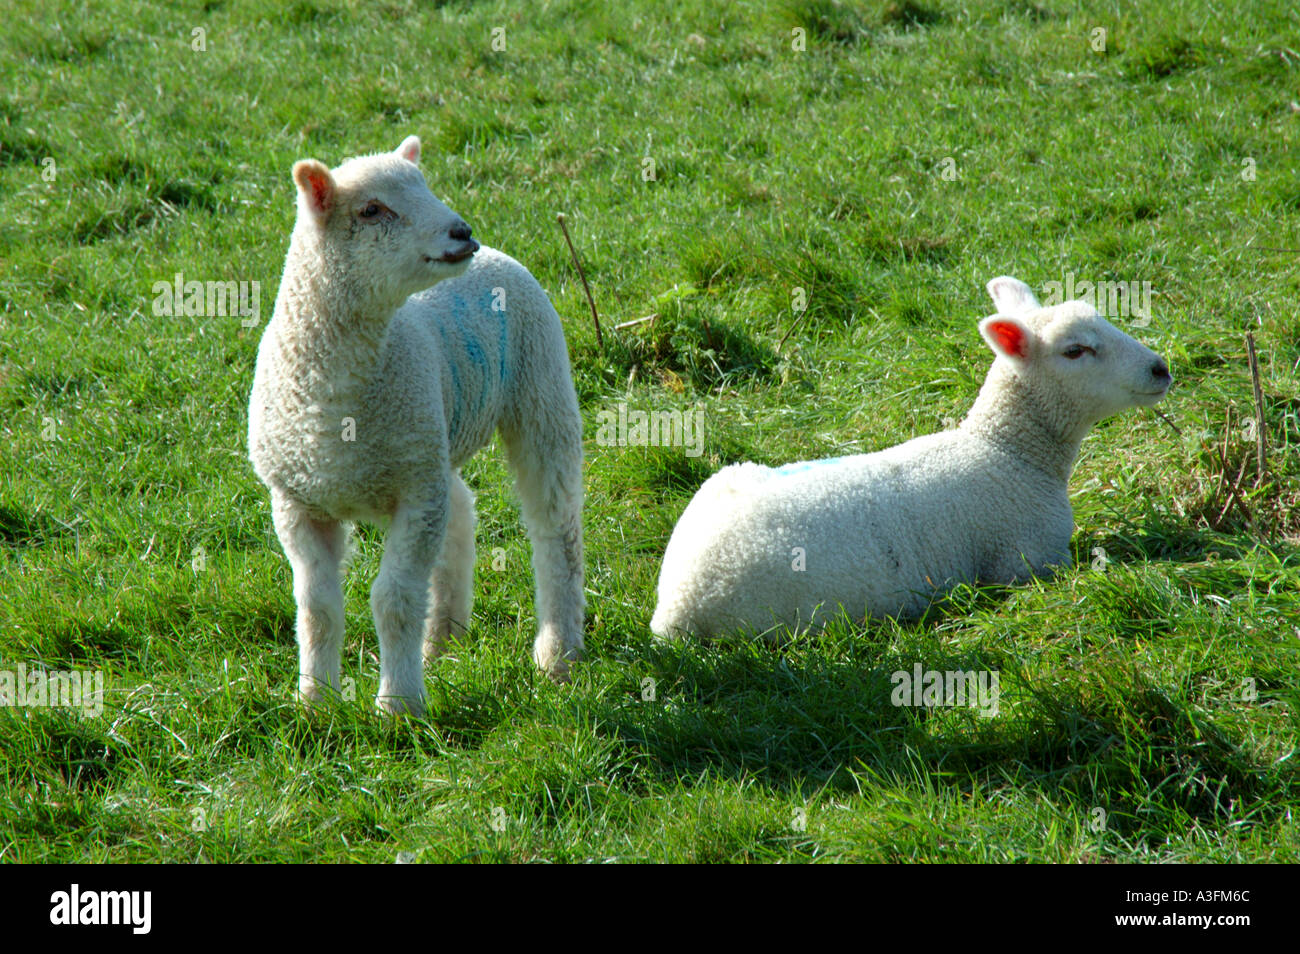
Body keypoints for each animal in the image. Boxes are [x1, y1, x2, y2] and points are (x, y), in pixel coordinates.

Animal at [248, 136, 585, 715]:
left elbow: (394, 599)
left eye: (424, 187)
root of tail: (496, 255)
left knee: (555, 528)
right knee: (463, 510)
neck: (333, 408)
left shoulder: (415, 493)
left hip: (540, 389)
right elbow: (316, 606)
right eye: (371, 210)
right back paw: (442, 640)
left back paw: (558, 655)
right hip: (434, 439)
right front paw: (316, 701)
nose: (461, 232)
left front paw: (399, 704)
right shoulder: (296, 502)